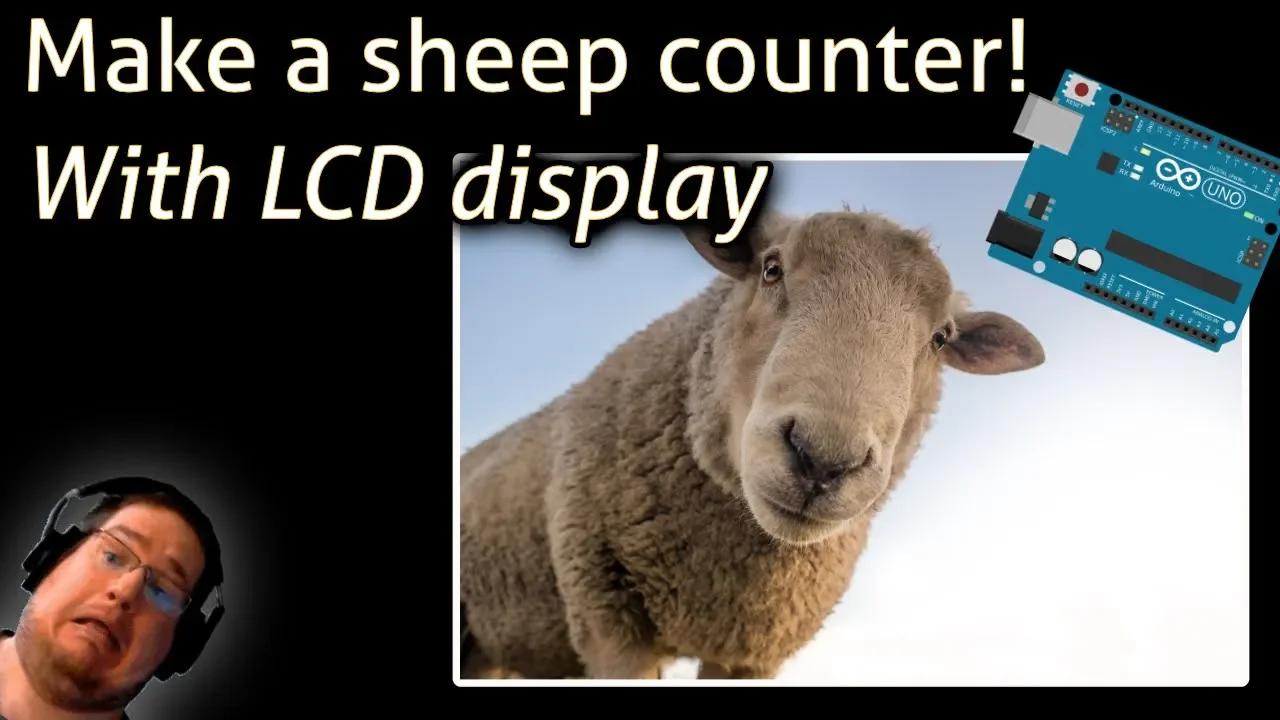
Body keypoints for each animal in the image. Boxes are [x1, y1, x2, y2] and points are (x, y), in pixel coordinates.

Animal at [459, 209, 1045, 679]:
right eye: (771, 269)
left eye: (941, 337)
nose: (822, 460)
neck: (724, 573)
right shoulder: (611, 621)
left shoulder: (751, 650)